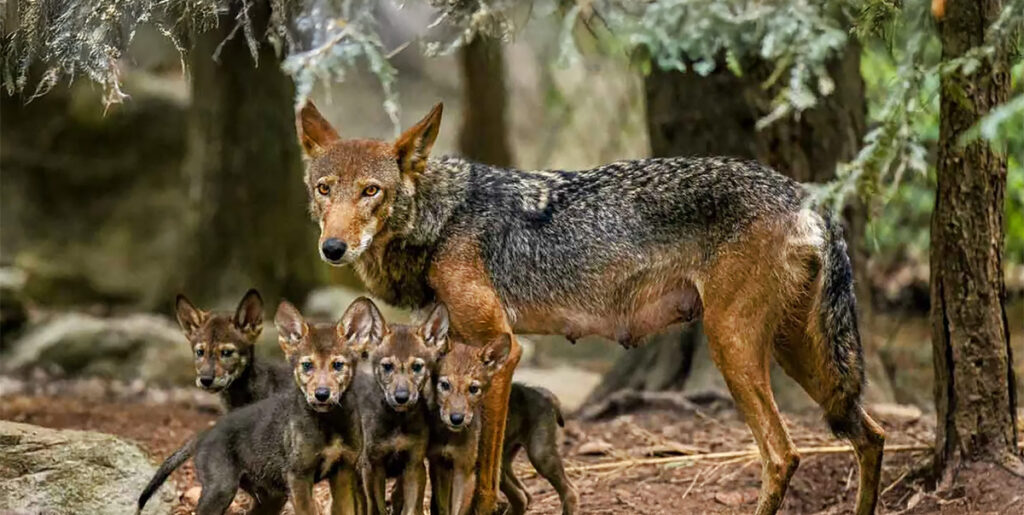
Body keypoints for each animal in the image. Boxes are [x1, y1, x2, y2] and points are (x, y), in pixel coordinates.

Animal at [295, 102, 885, 515]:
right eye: (325, 190)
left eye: (371, 191)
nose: (332, 249)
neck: (442, 221)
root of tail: (807, 196)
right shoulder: (452, 355)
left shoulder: (500, 350)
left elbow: (483, 475)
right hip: (797, 356)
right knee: (871, 435)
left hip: (733, 347)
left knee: (782, 455)